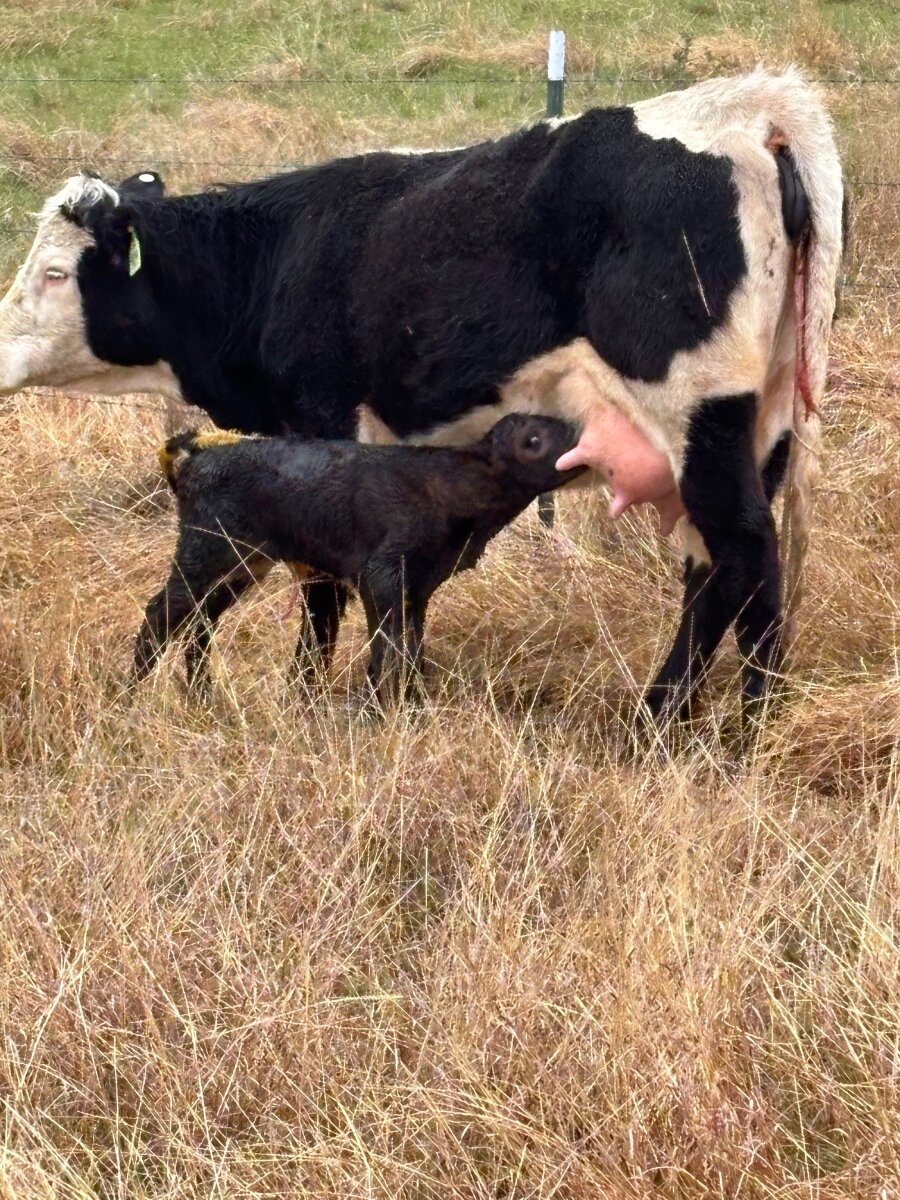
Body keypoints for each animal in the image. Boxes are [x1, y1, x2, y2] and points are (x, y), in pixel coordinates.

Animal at [0, 69, 845, 728]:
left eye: (54, 272)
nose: (1, 349)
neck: (278, 257)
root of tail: (756, 103)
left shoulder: (322, 420)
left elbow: (322, 588)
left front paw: (307, 696)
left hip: (699, 416)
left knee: (743, 556)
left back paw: (700, 729)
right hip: (762, 425)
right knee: (727, 572)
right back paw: (711, 718)